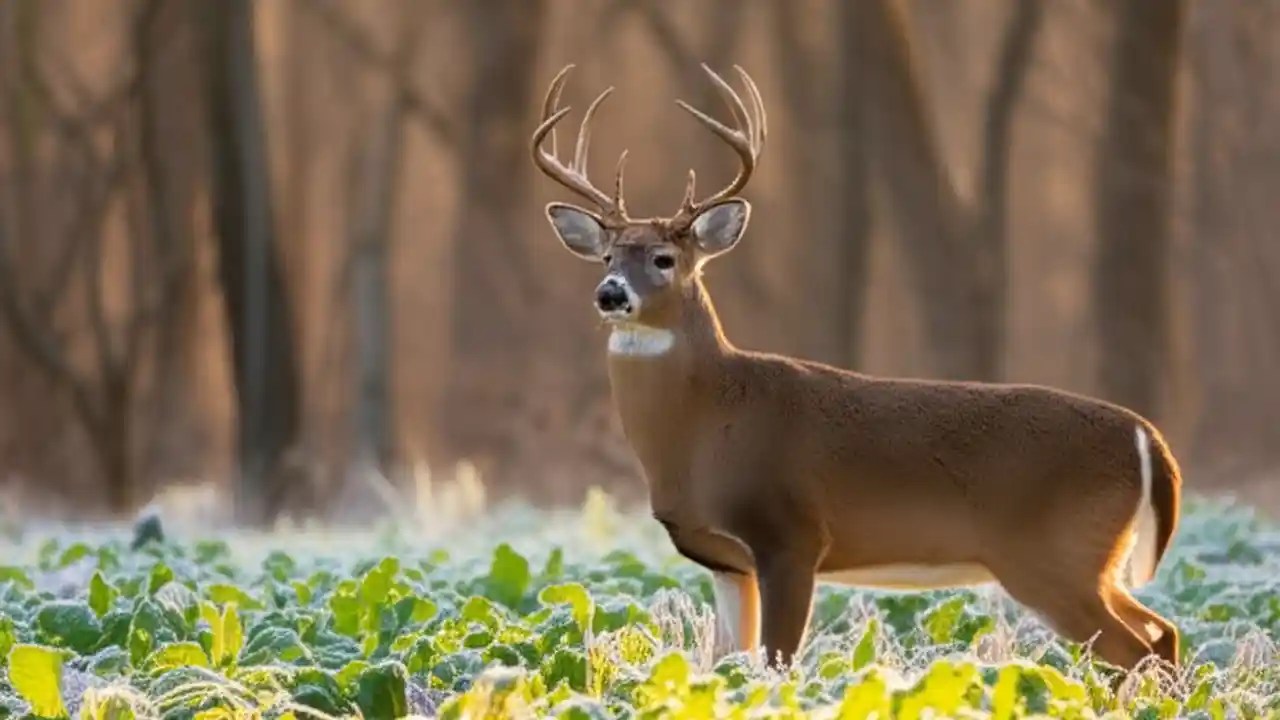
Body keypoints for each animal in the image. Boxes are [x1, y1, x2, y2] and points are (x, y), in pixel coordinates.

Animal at [530, 63, 1183, 673]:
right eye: (608, 256)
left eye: (664, 258)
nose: (610, 294)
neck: (707, 423)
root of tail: (1147, 438)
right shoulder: (727, 561)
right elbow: (726, 663)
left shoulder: (791, 535)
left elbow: (777, 664)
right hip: (1093, 563)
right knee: (1164, 634)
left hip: (1053, 557)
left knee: (1139, 650)